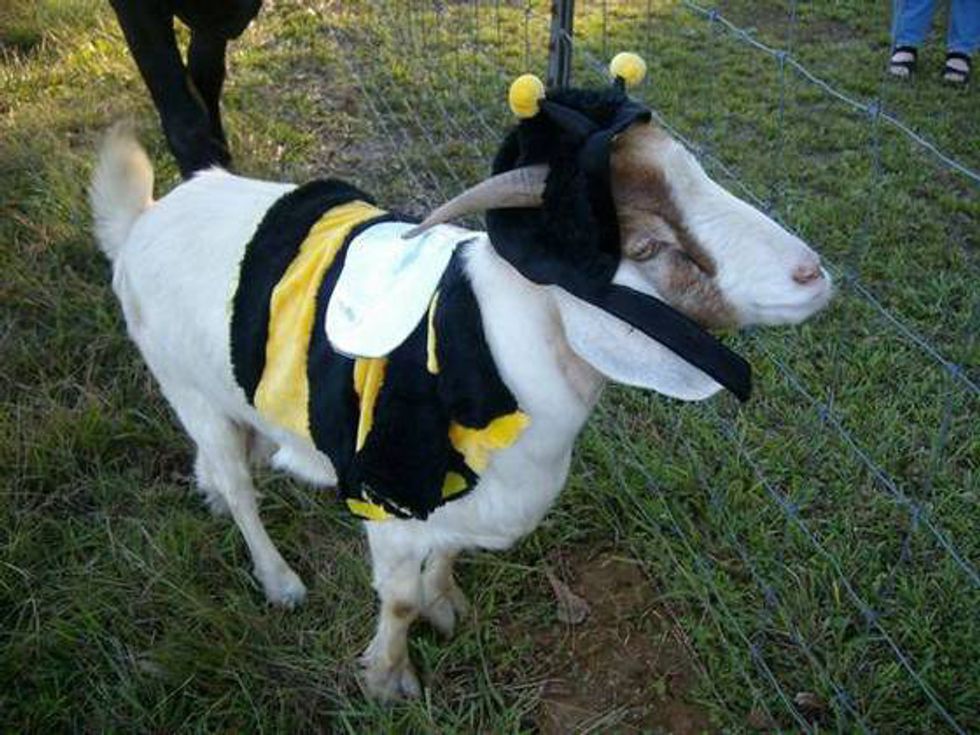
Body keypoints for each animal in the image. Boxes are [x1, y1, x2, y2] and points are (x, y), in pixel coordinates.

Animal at [90, 74, 831, 700]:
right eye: (646, 247)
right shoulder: (390, 500)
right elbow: (397, 599)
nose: (812, 274)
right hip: (185, 386)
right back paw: (279, 581)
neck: (485, 341)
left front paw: (447, 607)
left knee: (229, 460)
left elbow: (444, 557)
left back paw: (214, 492)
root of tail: (145, 216)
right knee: (243, 489)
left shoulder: (462, 499)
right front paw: (387, 678)